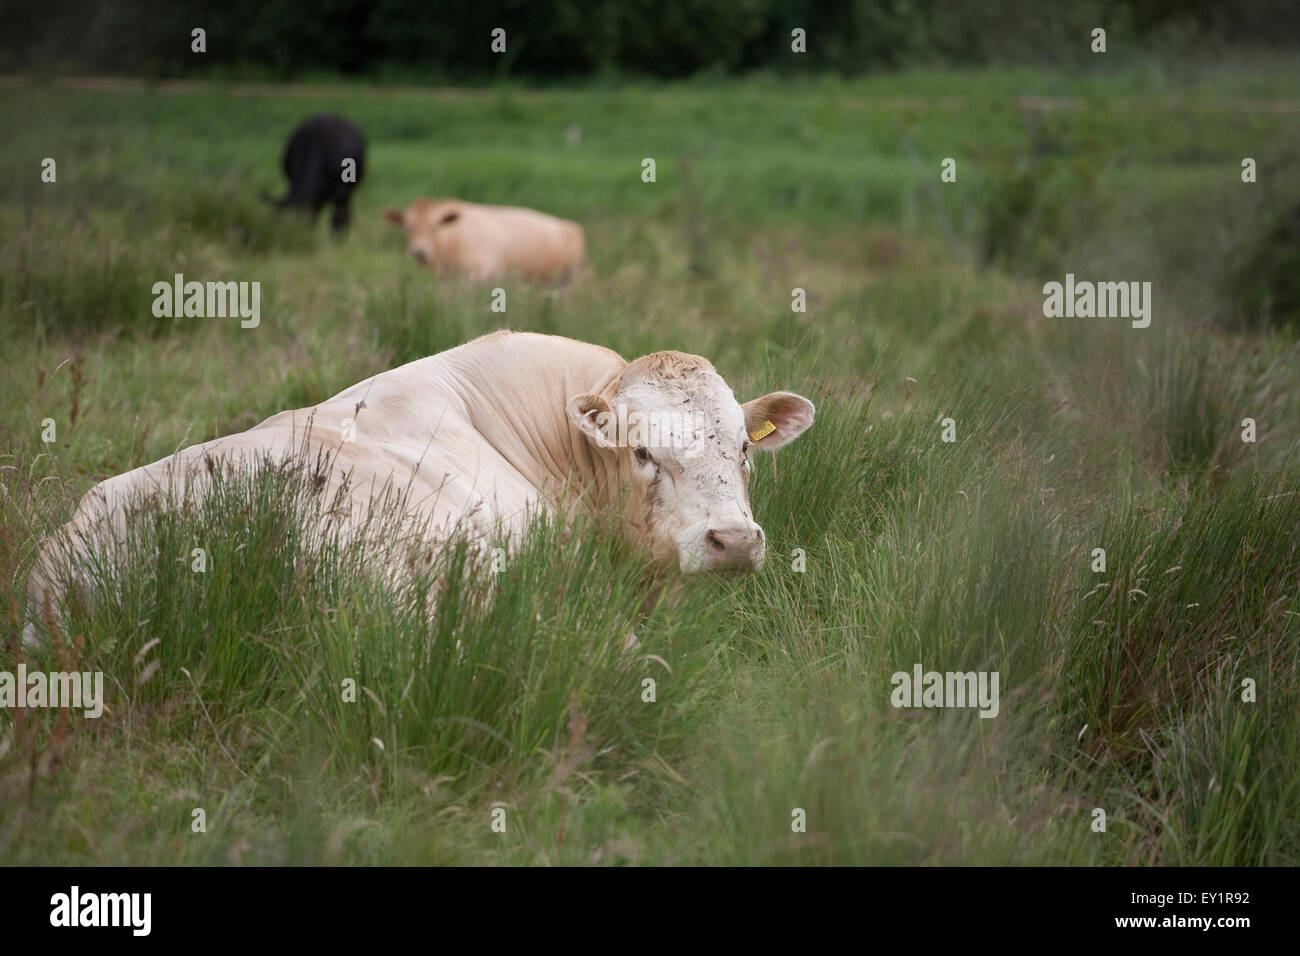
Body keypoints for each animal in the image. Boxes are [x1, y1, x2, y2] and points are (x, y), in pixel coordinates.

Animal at [383, 199, 586, 282]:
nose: (419, 251)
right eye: (407, 226)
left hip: (570, 277)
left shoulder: (484, 271)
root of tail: (569, 225)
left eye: (435, 226)